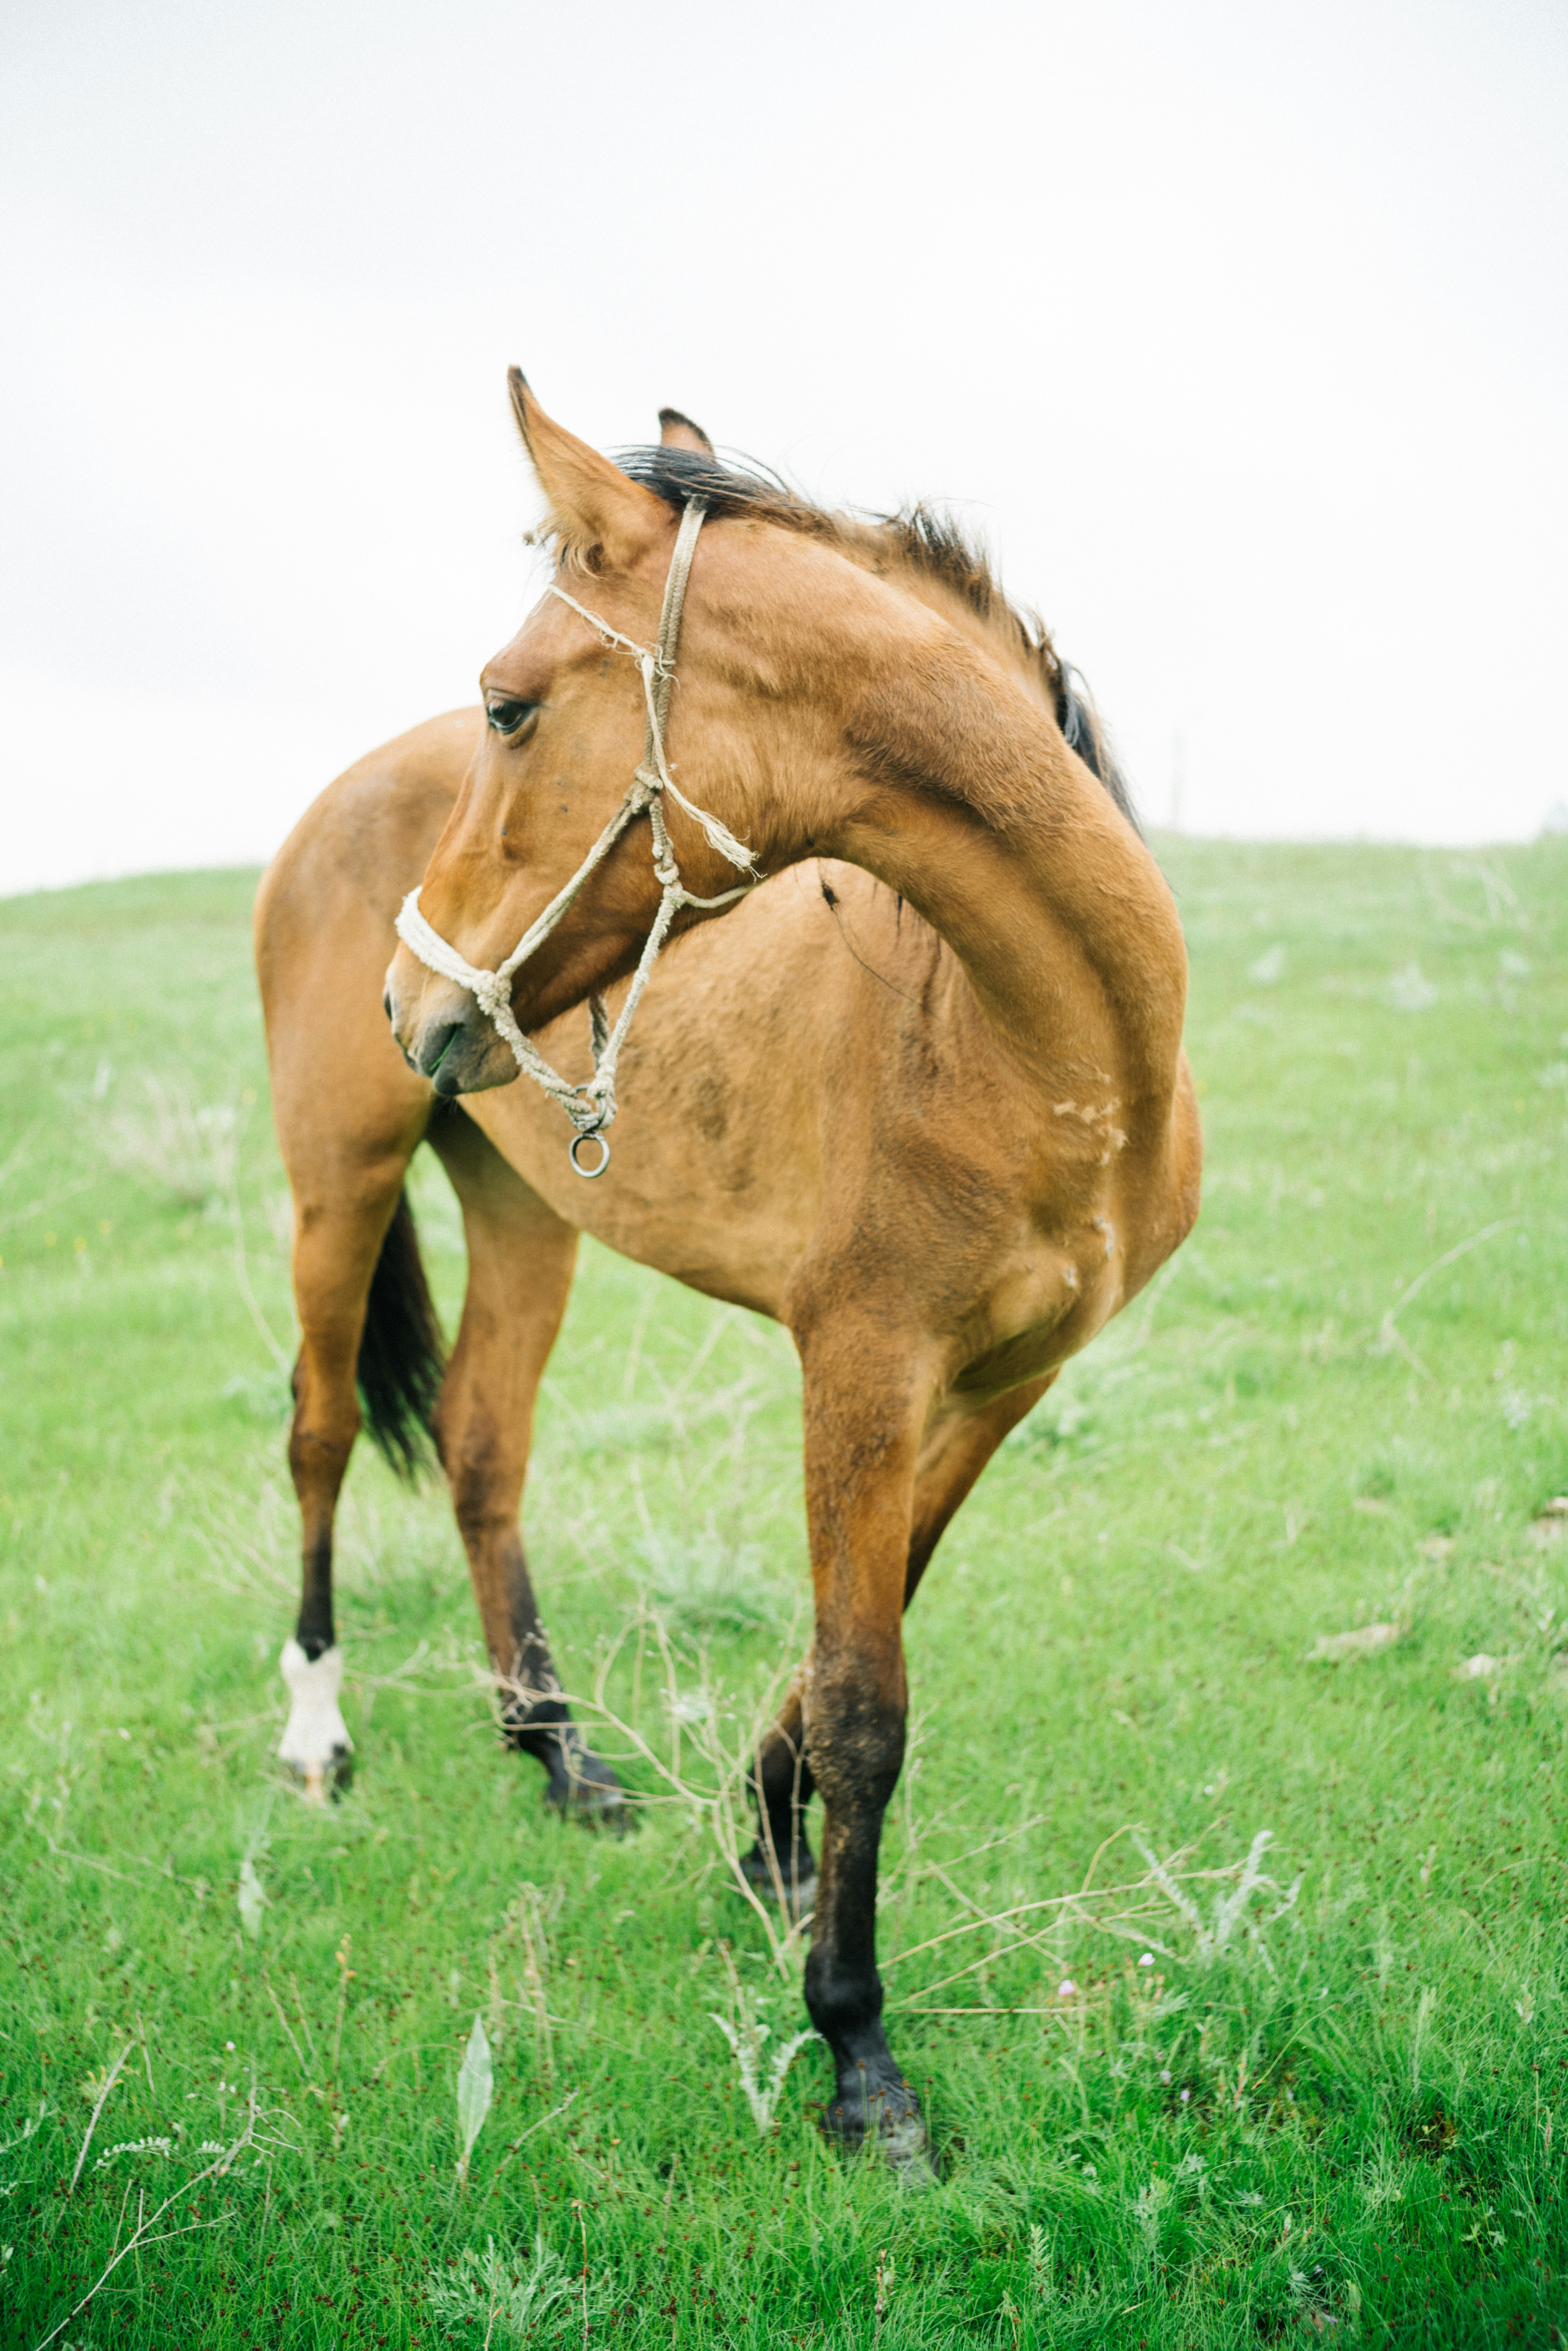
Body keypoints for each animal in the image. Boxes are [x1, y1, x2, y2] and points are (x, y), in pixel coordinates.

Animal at [256, 381, 1201, 2174]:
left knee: (482, 1448)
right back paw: (318, 1736)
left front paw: (765, 1841)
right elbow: (864, 1698)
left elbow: (873, 1623)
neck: (1015, 1045)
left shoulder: (1003, 1379)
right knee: (323, 1435)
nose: (418, 995)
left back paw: (557, 1758)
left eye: (508, 707)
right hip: (336, 1185)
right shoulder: (862, 1365)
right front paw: (858, 2055)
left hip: (523, 1213)